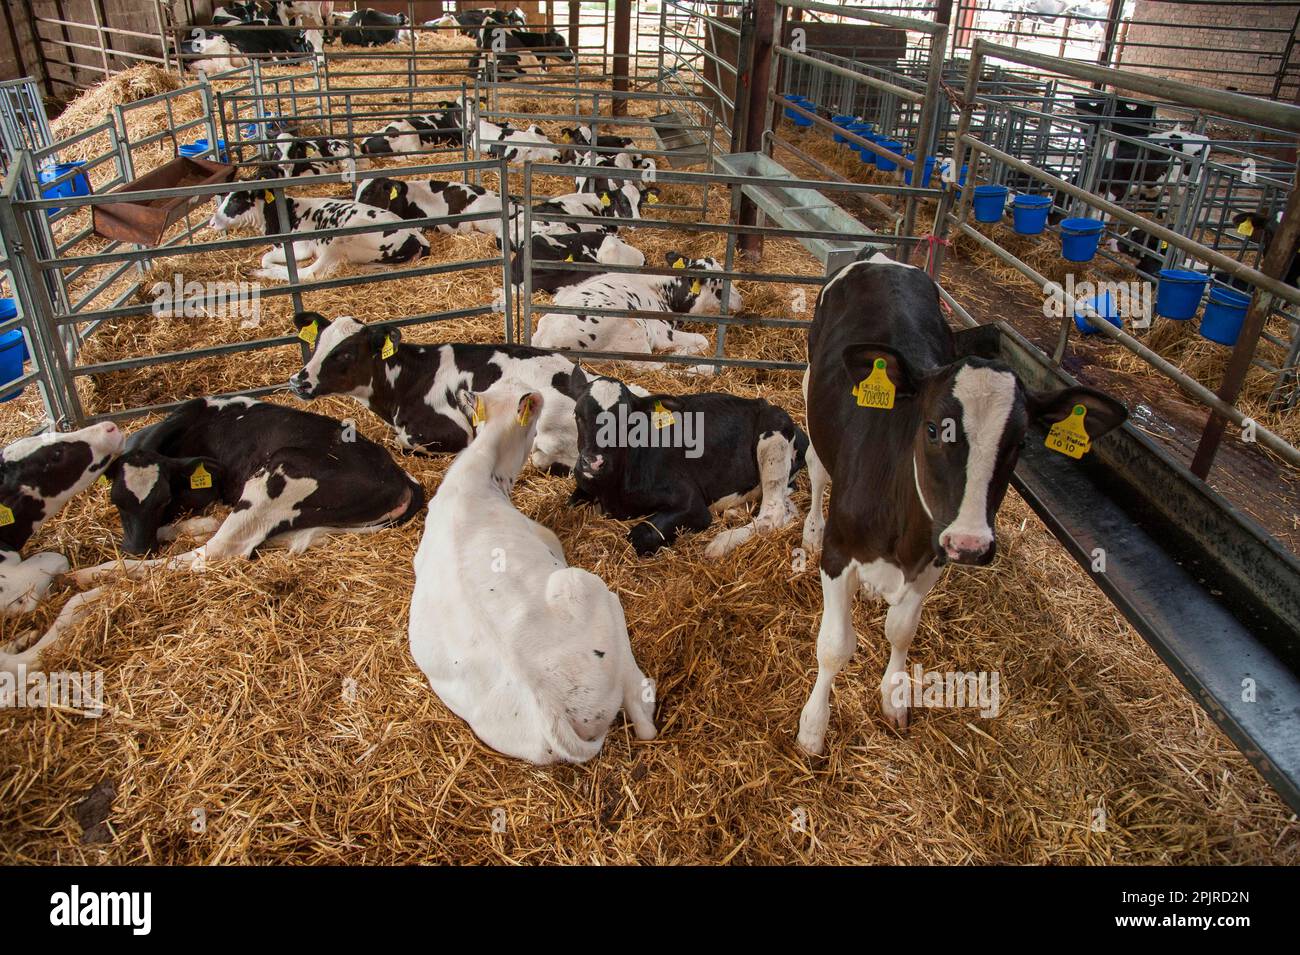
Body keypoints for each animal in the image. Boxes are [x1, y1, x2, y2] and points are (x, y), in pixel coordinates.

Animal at [208, 186, 429, 280]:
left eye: (236, 199)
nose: (211, 222)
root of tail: (416, 238)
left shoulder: (301, 247)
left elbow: (265, 258)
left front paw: (265, 267)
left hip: (339, 241)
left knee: (310, 273)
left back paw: (259, 273)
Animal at [531, 253, 740, 370]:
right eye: (720, 286)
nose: (741, 301)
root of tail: (544, 340)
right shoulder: (662, 333)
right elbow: (703, 340)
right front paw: (679, 352)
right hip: (634, 335)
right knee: (656, 367)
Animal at [569, 372, 808, 558]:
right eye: (577, 414)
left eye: (628, 421)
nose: (593, 462)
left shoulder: (691, 503)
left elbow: (640, 534)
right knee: (787, 506)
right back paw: (734, 513)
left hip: (773, 438)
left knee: (773, 511)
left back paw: (721, 543)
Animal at [795, 253, 1127, 753]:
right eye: (933, 428)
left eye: (1019, 443)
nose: (970, 544)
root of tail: (881, 258)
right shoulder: (840, 553)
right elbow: (834, 646)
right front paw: (813, 727)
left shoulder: (933, 558)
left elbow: (901, 630)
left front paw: (894, 697)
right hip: (810, 385)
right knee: (817, 467)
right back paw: (810, 529)